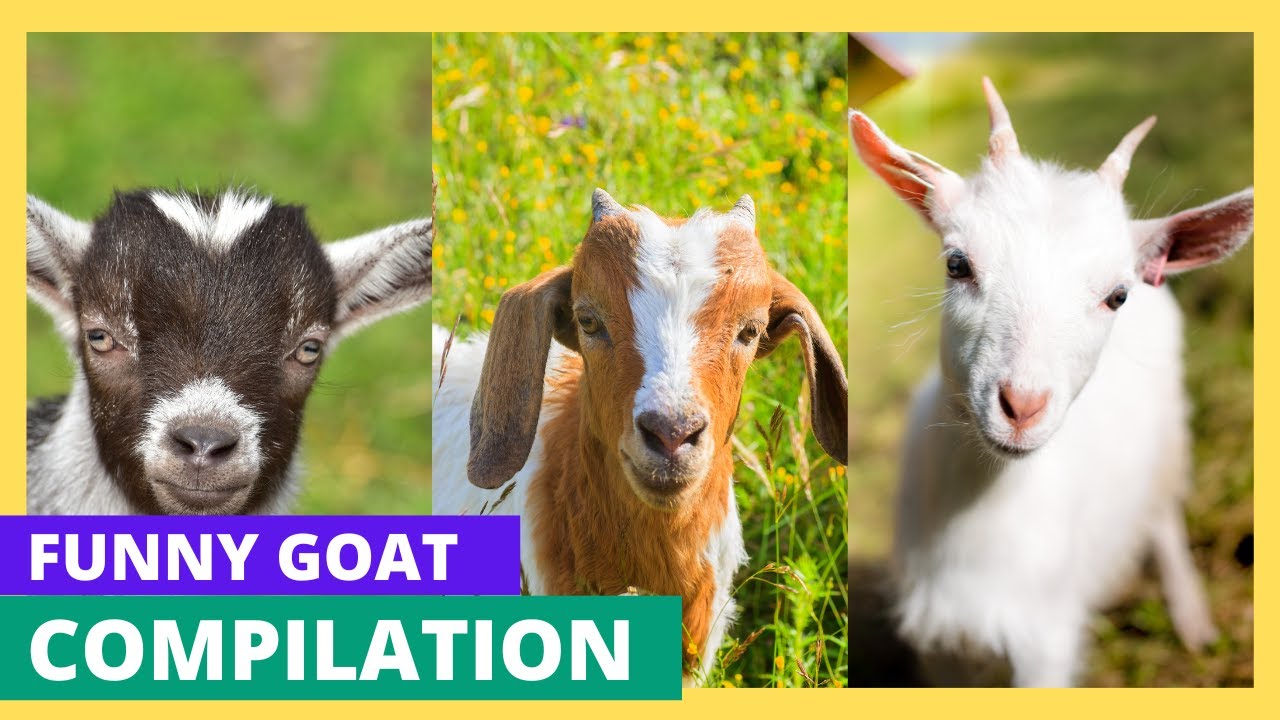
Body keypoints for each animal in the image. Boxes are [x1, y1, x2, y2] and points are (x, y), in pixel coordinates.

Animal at [850, 79, 1253, 687]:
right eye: (956, 263)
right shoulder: (939, 643)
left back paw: (1192, 618)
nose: (1022, 406)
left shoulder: (1047, 644)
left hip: (1169, 435)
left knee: (1162, 514)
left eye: (1117, 295)